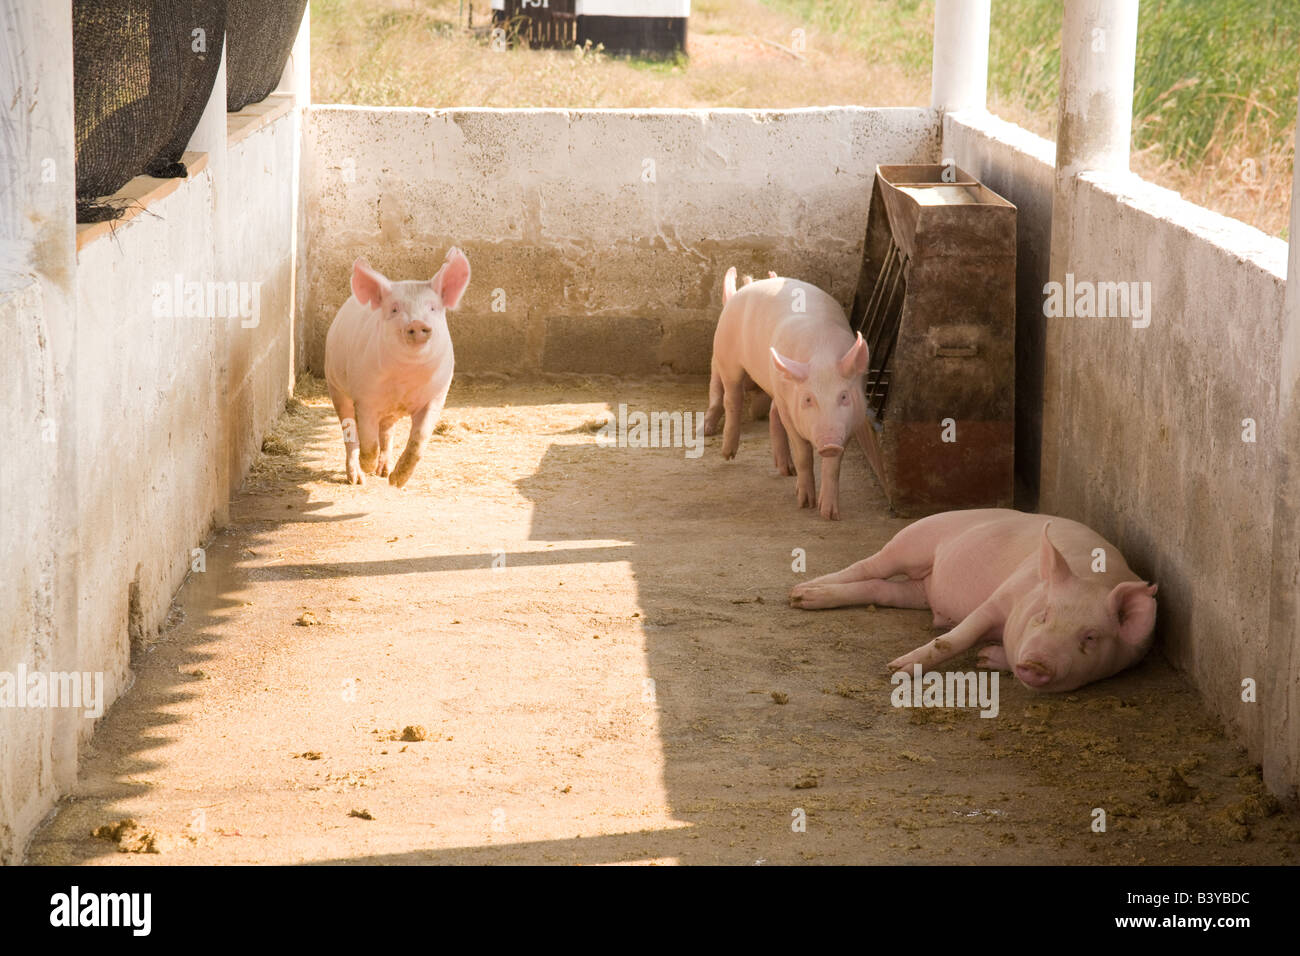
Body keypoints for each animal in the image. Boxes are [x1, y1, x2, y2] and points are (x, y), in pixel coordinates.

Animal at [324, 248, 470, 487]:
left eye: (432, 307)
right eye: (394, 309)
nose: (417, 323)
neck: (405, 376)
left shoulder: (436, 396)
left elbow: (419, 440)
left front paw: (397, 481)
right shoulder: (364, 396)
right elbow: (367, 438)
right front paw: (368, 466)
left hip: (389, 412)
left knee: (387, 431)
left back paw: (384, 472)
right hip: (335, 384)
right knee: (350, 430)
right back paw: (358, 479)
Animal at [703, 267, 869, 520]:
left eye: (843, 396)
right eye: (808, 399)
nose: (829, 443)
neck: (821, 353)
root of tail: (738, 293)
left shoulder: (850, 423)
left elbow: (834, 466)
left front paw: (829, 514)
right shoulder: (791, 414)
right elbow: (803, 453)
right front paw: (805, 503)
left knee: (771, 412)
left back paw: (786, 470)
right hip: (726, 355)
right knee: (731, 398)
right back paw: (727, 452)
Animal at [788, 509, 1158, 692]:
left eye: (1090, 637)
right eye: (1042, 615)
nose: (1037, 663)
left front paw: (985, 658)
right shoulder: (1001, 597)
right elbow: (956, 638)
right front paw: (896, 669)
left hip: (917, 592)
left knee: (880, 588)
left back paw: (804, 597)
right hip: (912, 541)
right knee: (867, 565)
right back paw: (799, 593)